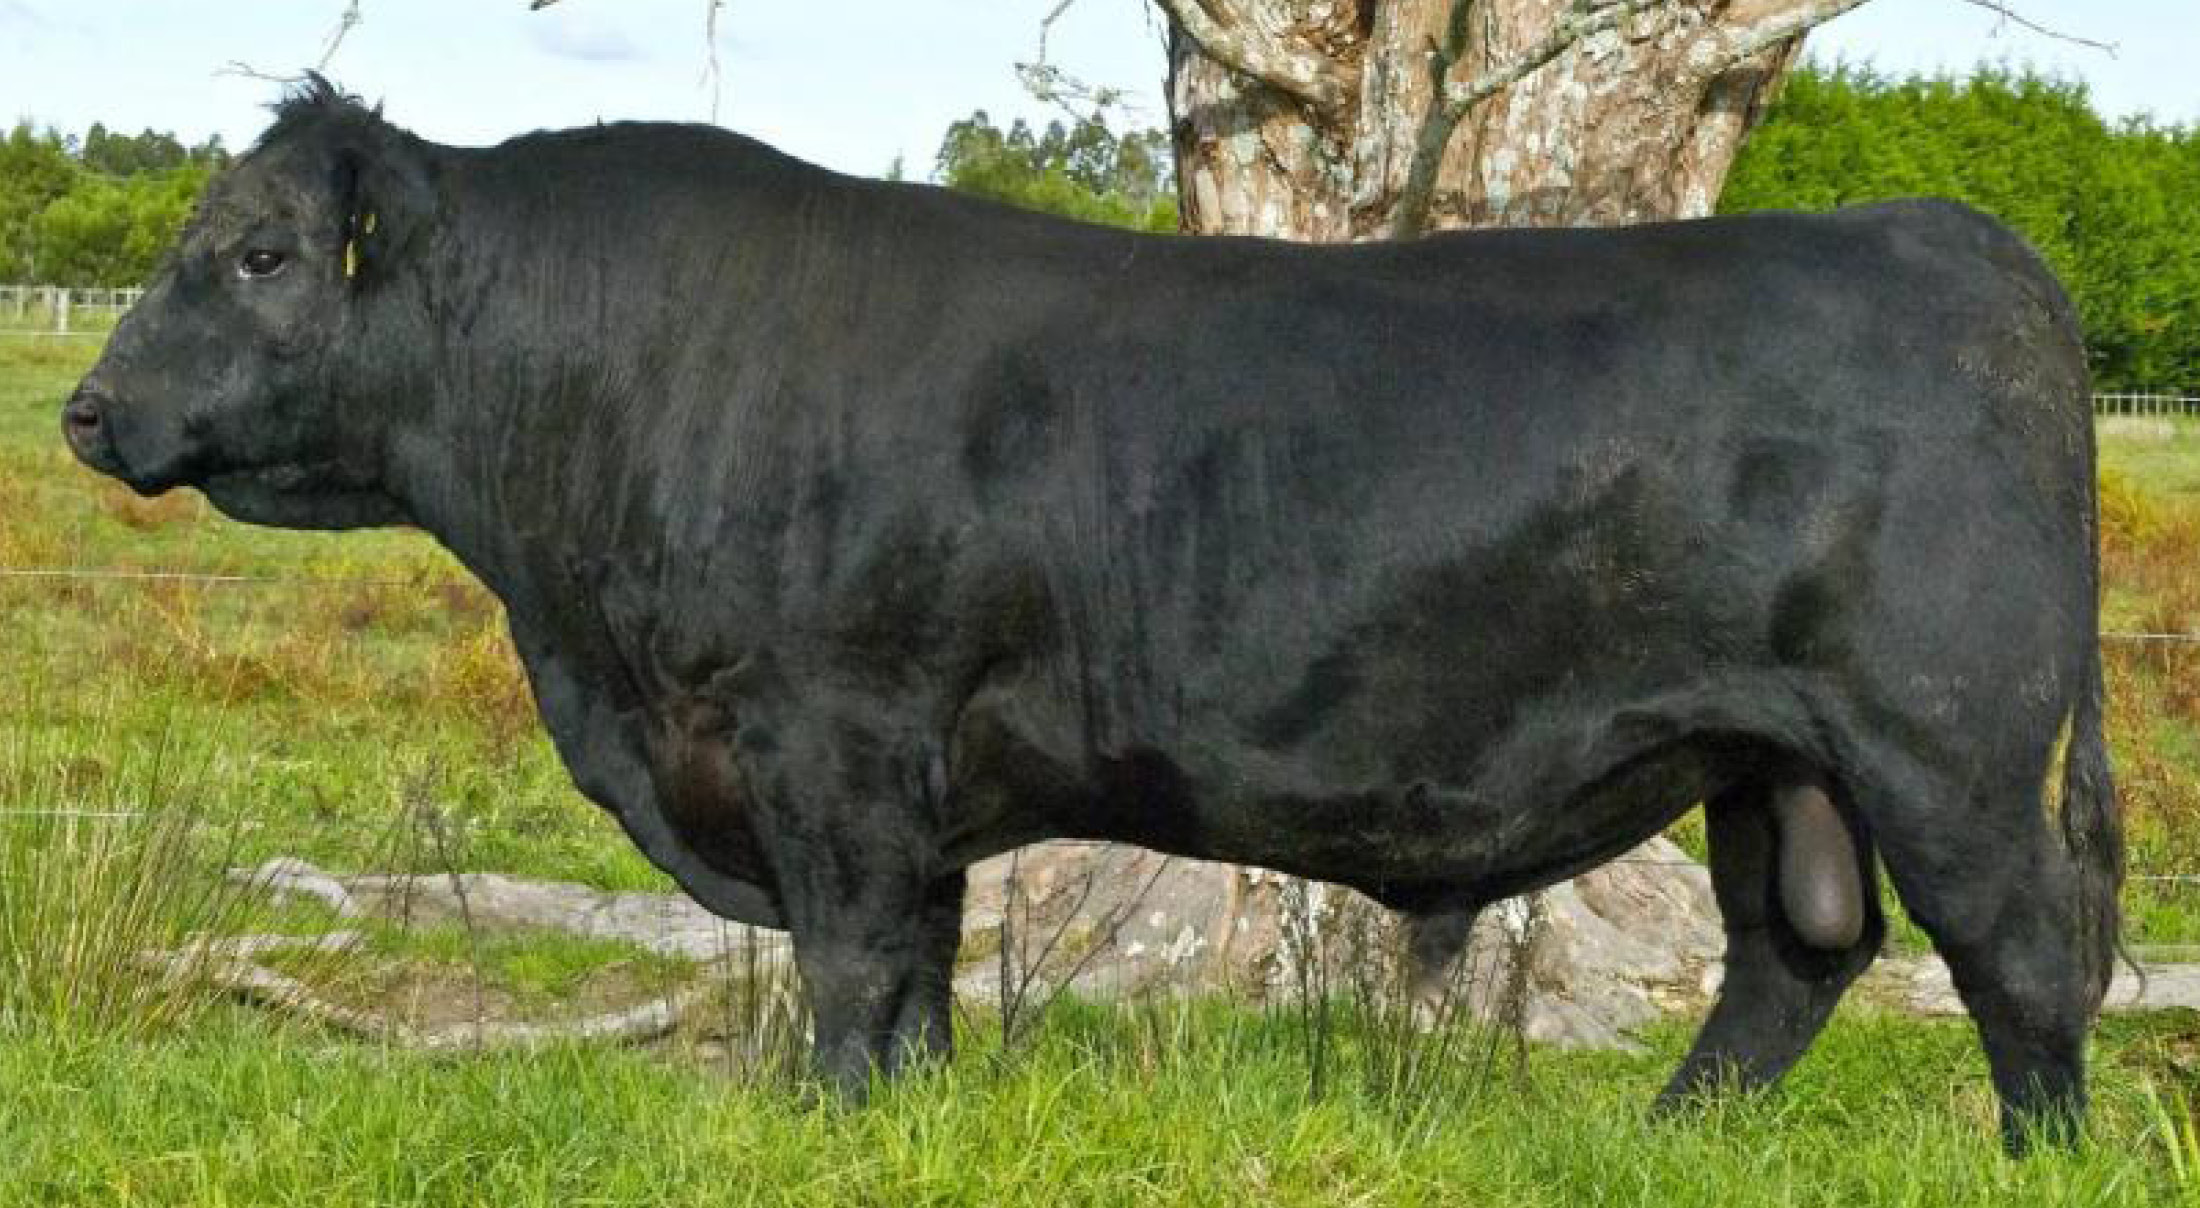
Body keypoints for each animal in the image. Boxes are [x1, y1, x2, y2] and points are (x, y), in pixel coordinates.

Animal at [64, 78, 2119, 1151]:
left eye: (258, 254)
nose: (87, 411)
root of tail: (1944, 235)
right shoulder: (891, 783)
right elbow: (916, 979)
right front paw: (901, 1133)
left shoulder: (832, 740)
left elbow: (852, 966)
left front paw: (828, 1132)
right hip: (1771, 751)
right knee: (1799, 952)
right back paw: (1670, 1143)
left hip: (1944, 737)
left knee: (2022, 956)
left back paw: (2035, 1160)